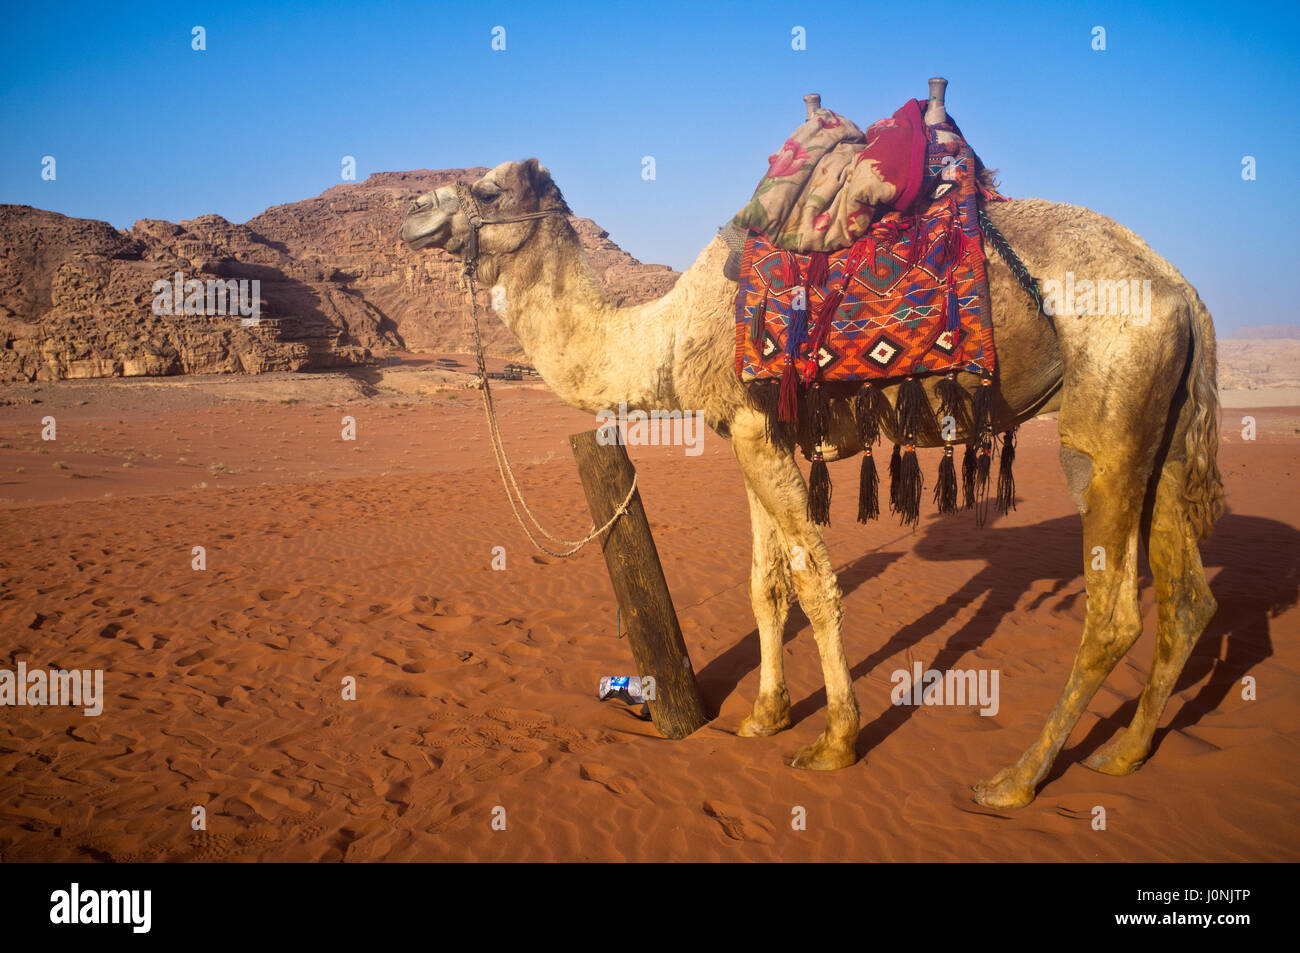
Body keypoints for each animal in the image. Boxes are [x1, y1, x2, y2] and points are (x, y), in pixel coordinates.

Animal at [400, 152, 1224, 808]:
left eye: (486, 188)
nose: (410, 212)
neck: (666, 334)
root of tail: (1185, 291)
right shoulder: (749, 432)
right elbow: (765, 583)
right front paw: (762, 715)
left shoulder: (755, 427)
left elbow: (814, 579)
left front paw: (835, 740)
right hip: (1163, 431)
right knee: (1189, 598)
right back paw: (1123, 753)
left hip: (1106, 424)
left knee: (1113, 612)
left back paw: (1014, 779)